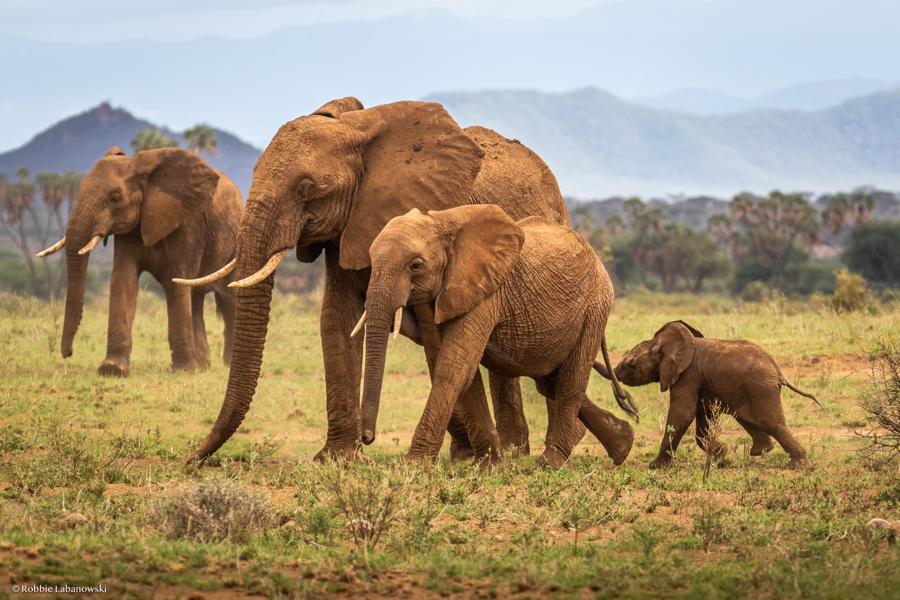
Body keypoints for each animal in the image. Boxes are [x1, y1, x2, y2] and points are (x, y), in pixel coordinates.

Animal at [36, 146, 242, 376]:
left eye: (115, 198)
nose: (68, 353)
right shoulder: (129, 229)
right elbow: (123, 280)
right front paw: (112, 369)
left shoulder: (187, 225)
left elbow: (176, 282)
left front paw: (183, 370)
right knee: (196, 300)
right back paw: (203, 366)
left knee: (228, 298)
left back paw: (226, 364)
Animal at [356, 205, 638, 467]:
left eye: (415, 266)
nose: (367, 437)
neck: (442, 221)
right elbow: (464, 374)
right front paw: (489, 464)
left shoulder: (485, 293)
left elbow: (453, 368)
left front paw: (415, 465)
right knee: (548, 379)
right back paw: (623, 444)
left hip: (595, 308)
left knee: (570, 382)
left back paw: (550, 464)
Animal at [603, 320, 819, 469]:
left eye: (631, 364)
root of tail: (778, 371)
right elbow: (701, 415)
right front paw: (722, 455)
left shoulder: (687, 375)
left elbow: (683, 413)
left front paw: (655, 467)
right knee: (748, 418)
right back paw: (761, 451)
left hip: (761, 387)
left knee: (771, 422)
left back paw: (796, 465)